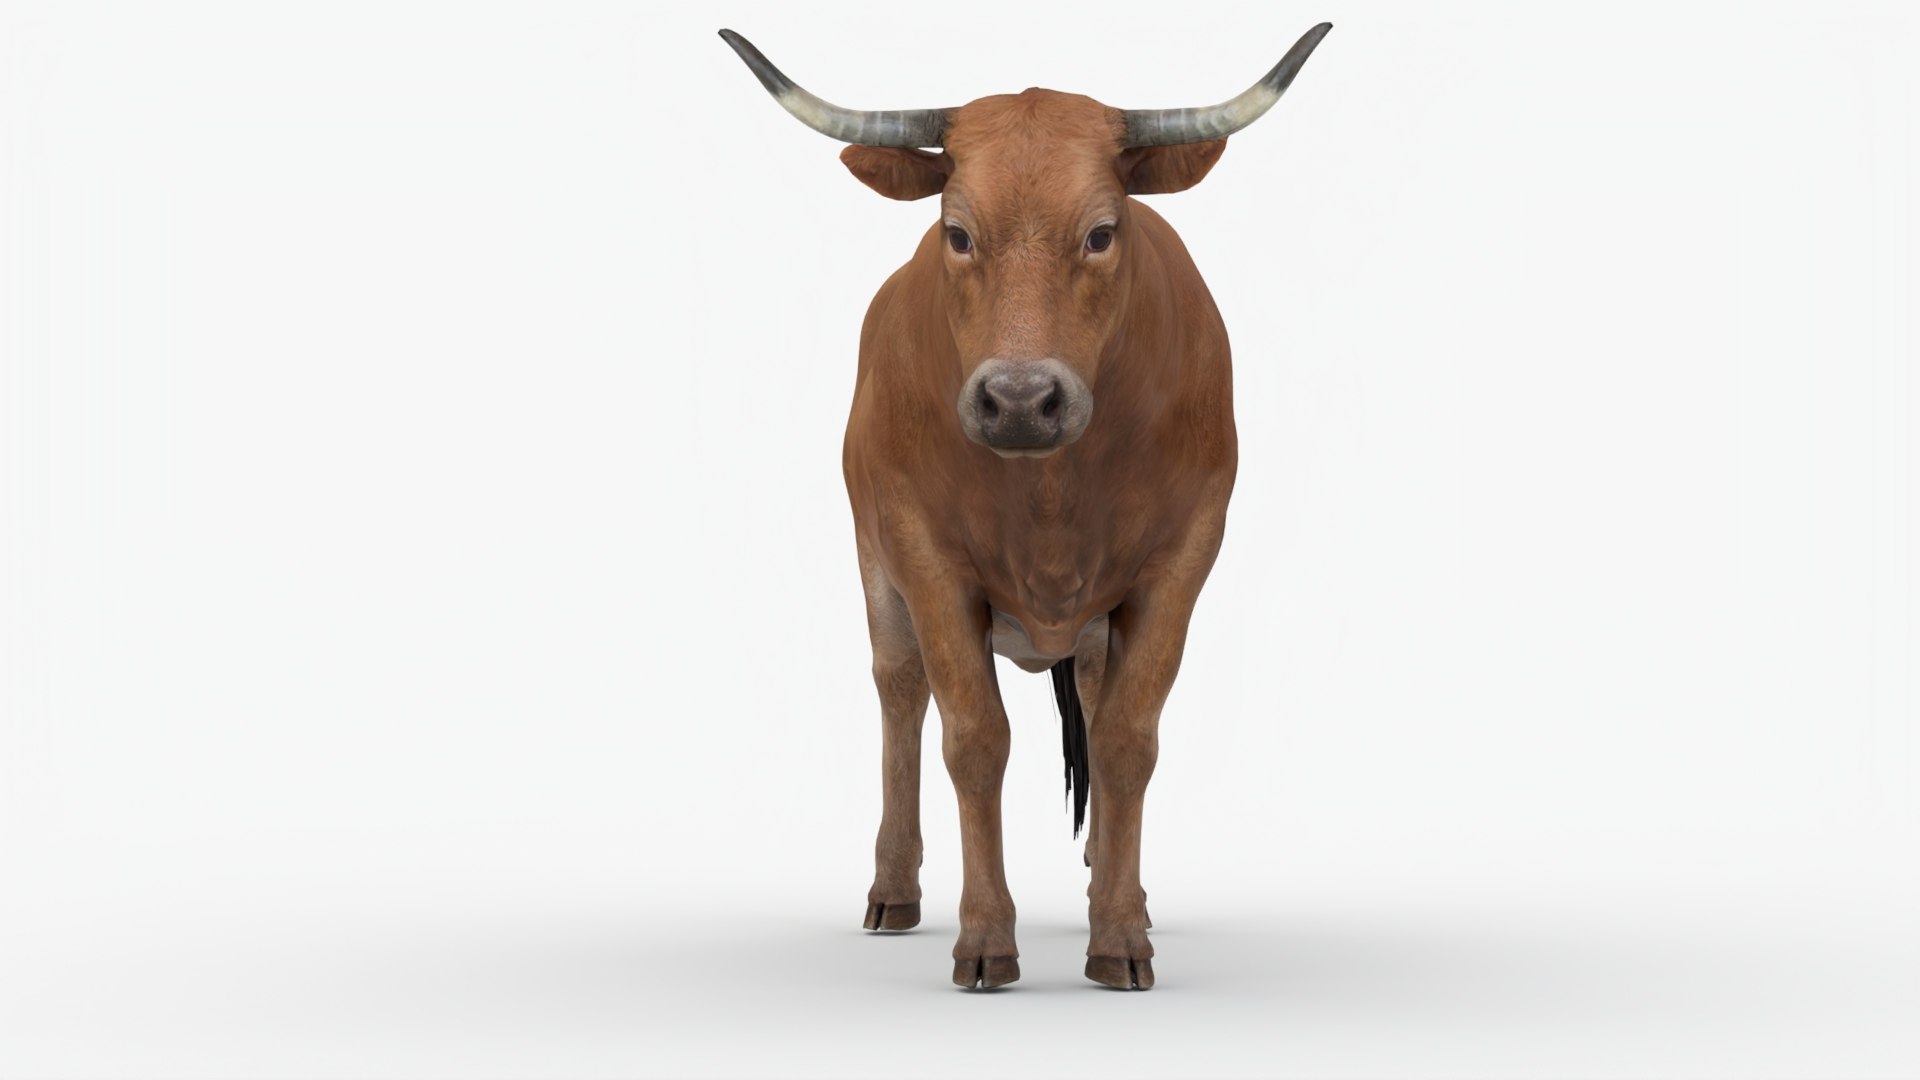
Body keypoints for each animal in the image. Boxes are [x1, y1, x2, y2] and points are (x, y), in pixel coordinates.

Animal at [721, 23, 1332, 990]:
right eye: (957, 232)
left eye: (1103, 232)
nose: (1017, 400)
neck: (1049, 492)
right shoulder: (925, 556)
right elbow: (974, 739)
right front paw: (985, 940)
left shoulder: (1182, 559)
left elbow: (1127, 740)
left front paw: (1118, 935)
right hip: (873, 563)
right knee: (899, 692)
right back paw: (893, 892)